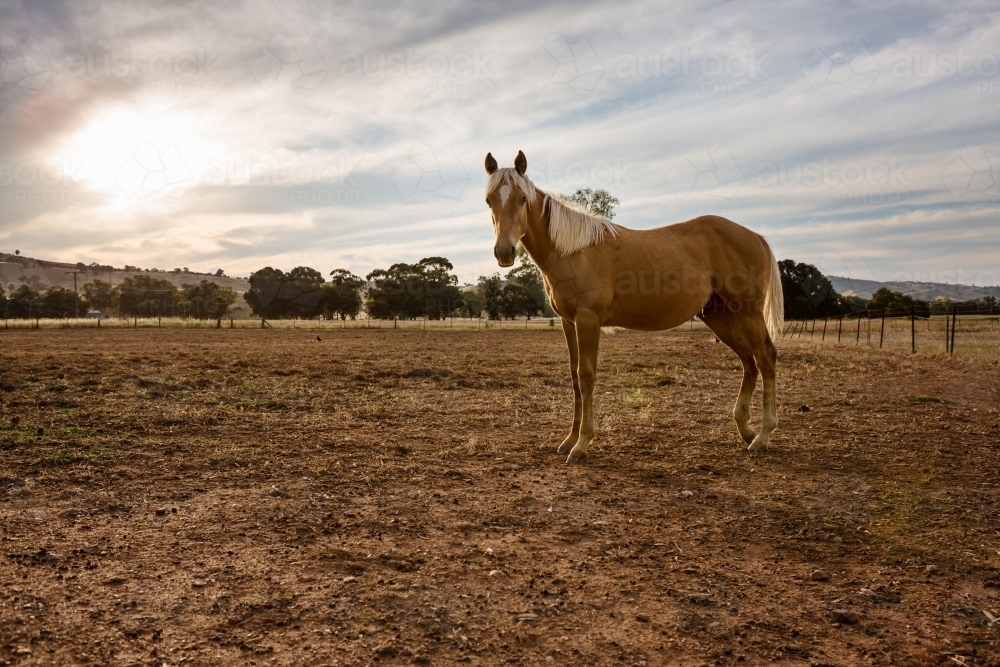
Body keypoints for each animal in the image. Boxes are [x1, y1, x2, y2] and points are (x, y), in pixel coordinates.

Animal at [483, 151, 783, 463]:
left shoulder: (588, 320)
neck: (573, 251)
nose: (504, 252)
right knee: (749, 363)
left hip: (747, 313)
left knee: (765, 358)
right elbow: (575, 377)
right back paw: (746, 430)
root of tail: (756, 237)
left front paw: (582, 444)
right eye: (489, 200)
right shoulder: (568, 322)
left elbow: (586, 376)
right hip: (722, 317)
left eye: (522, 199)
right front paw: (568, 440)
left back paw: (762, 436)